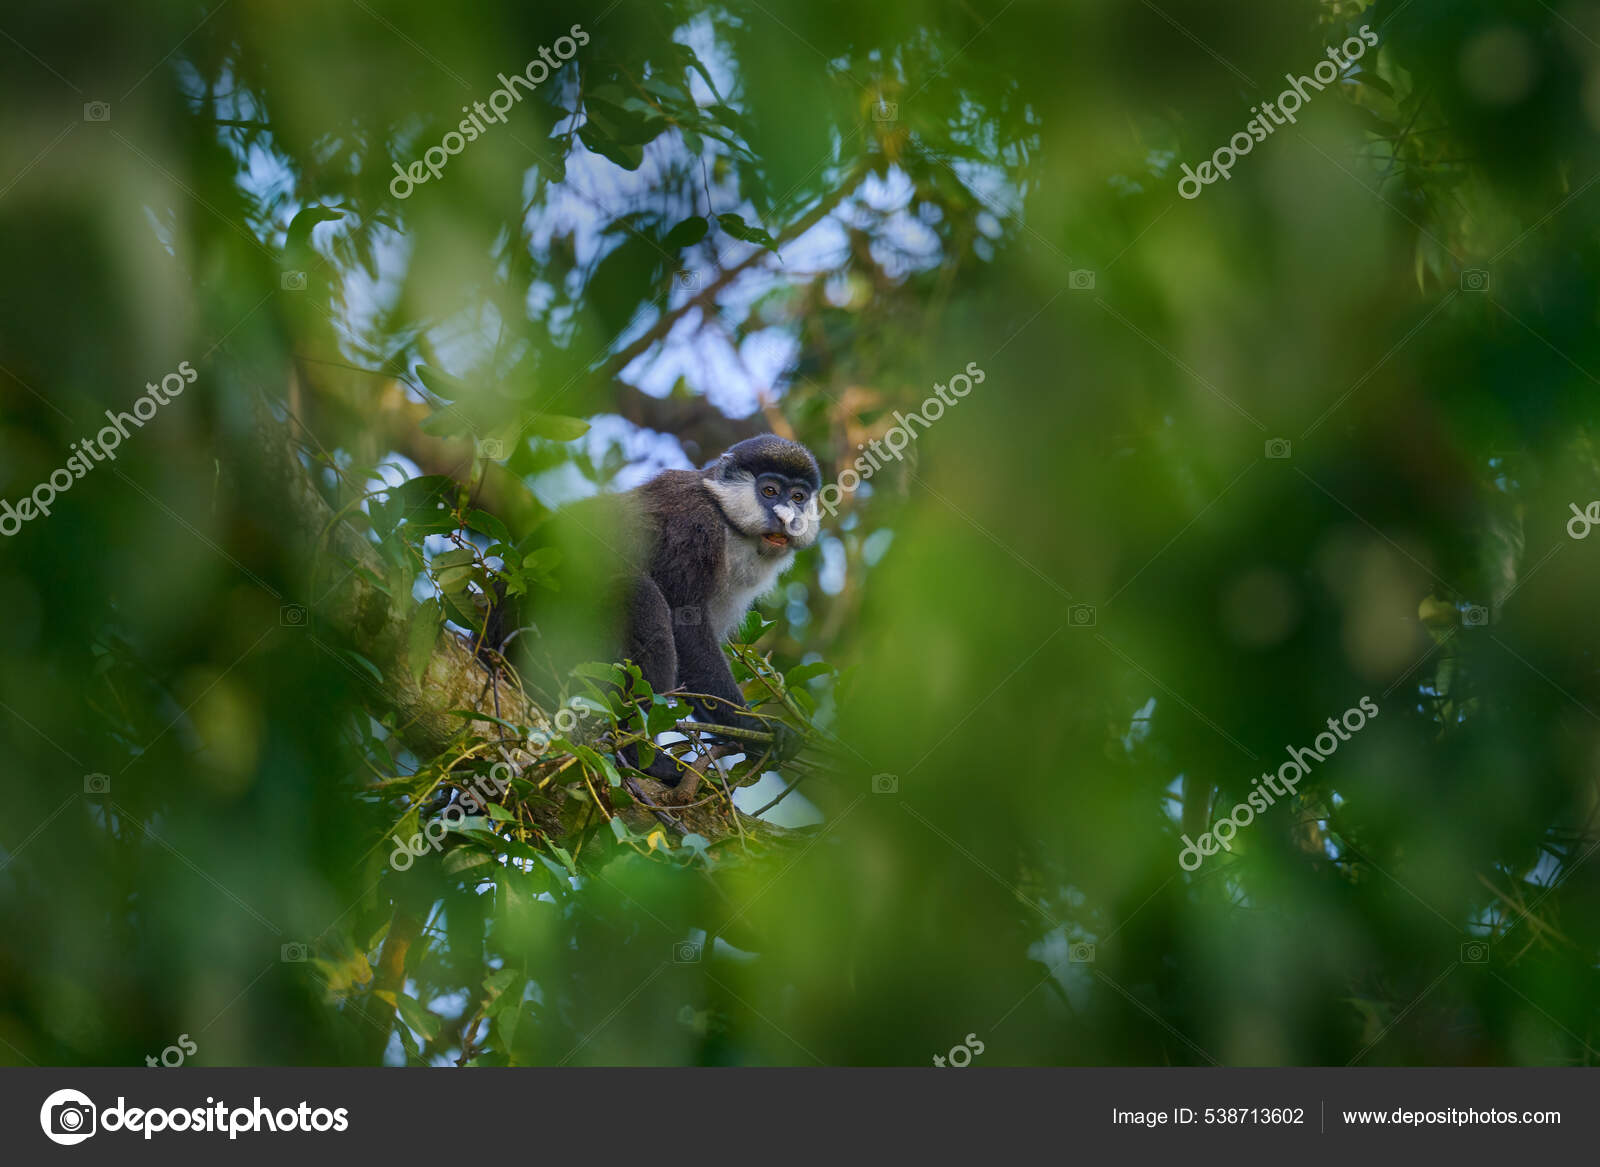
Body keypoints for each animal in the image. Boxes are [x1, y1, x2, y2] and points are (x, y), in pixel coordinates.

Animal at [488, 434, 822, 783]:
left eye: (798, 497)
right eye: (769, 491)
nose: (788, 518)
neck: (731, 524)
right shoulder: (695, 529)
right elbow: (686, 629)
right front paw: (750, 728)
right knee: (641, 596)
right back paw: (638, 754)